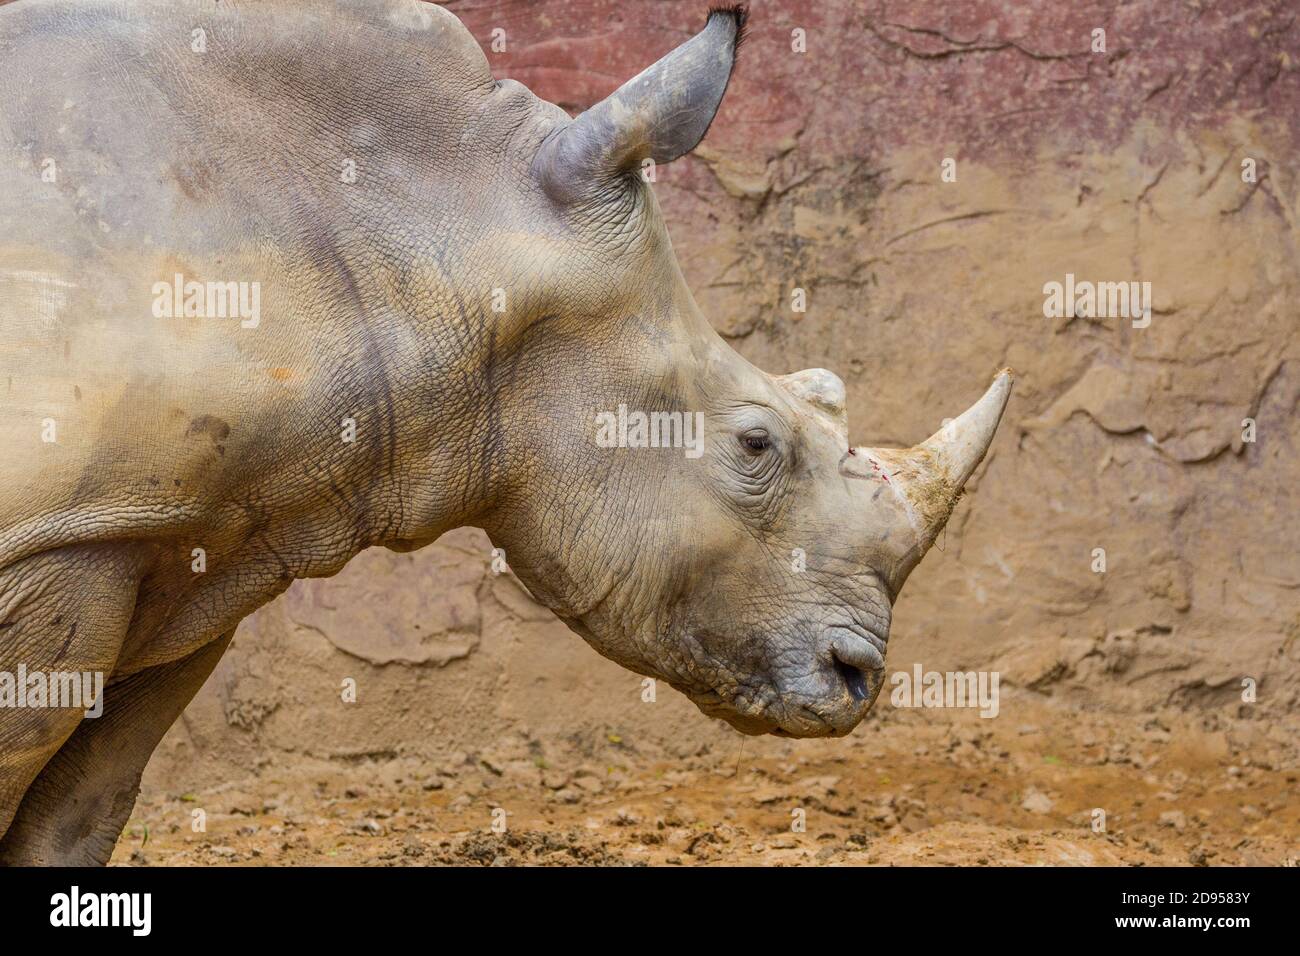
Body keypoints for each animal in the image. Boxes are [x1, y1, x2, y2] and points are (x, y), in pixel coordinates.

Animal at [0, 0, 1011, 864]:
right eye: (755, 445)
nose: (858, 677)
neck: (434, 225)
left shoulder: (187, 527)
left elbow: (83, 803)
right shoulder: (62, 530)